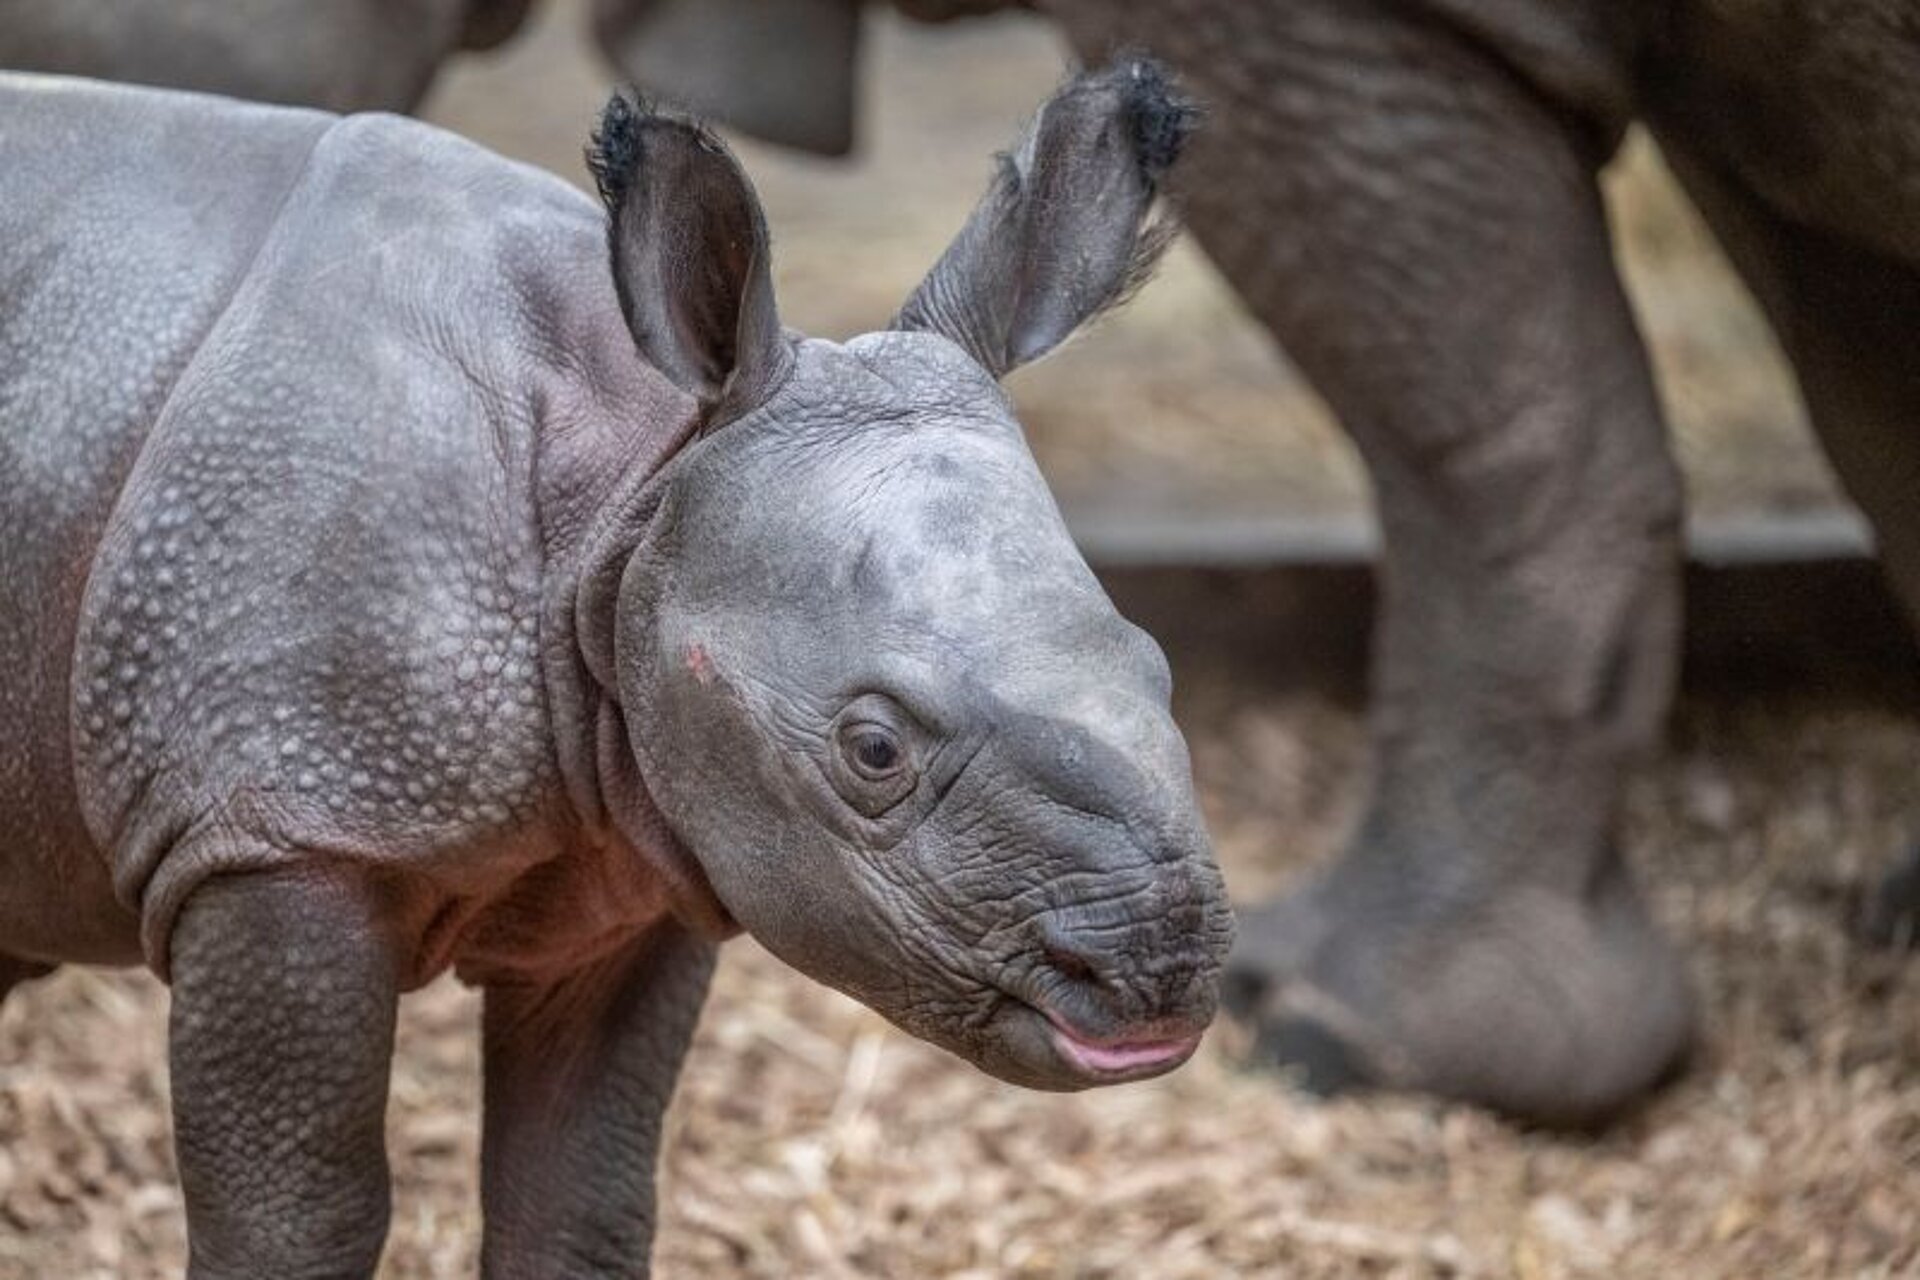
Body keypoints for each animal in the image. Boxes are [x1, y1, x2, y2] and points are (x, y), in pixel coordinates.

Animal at [0, 62, 1231, 1277]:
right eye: (874, 750)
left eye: (1157, 667)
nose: (1156, 972)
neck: (640, 476)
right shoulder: (279, 825)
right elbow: (298, 1216)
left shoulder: (644, 852)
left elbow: (578, 1195)